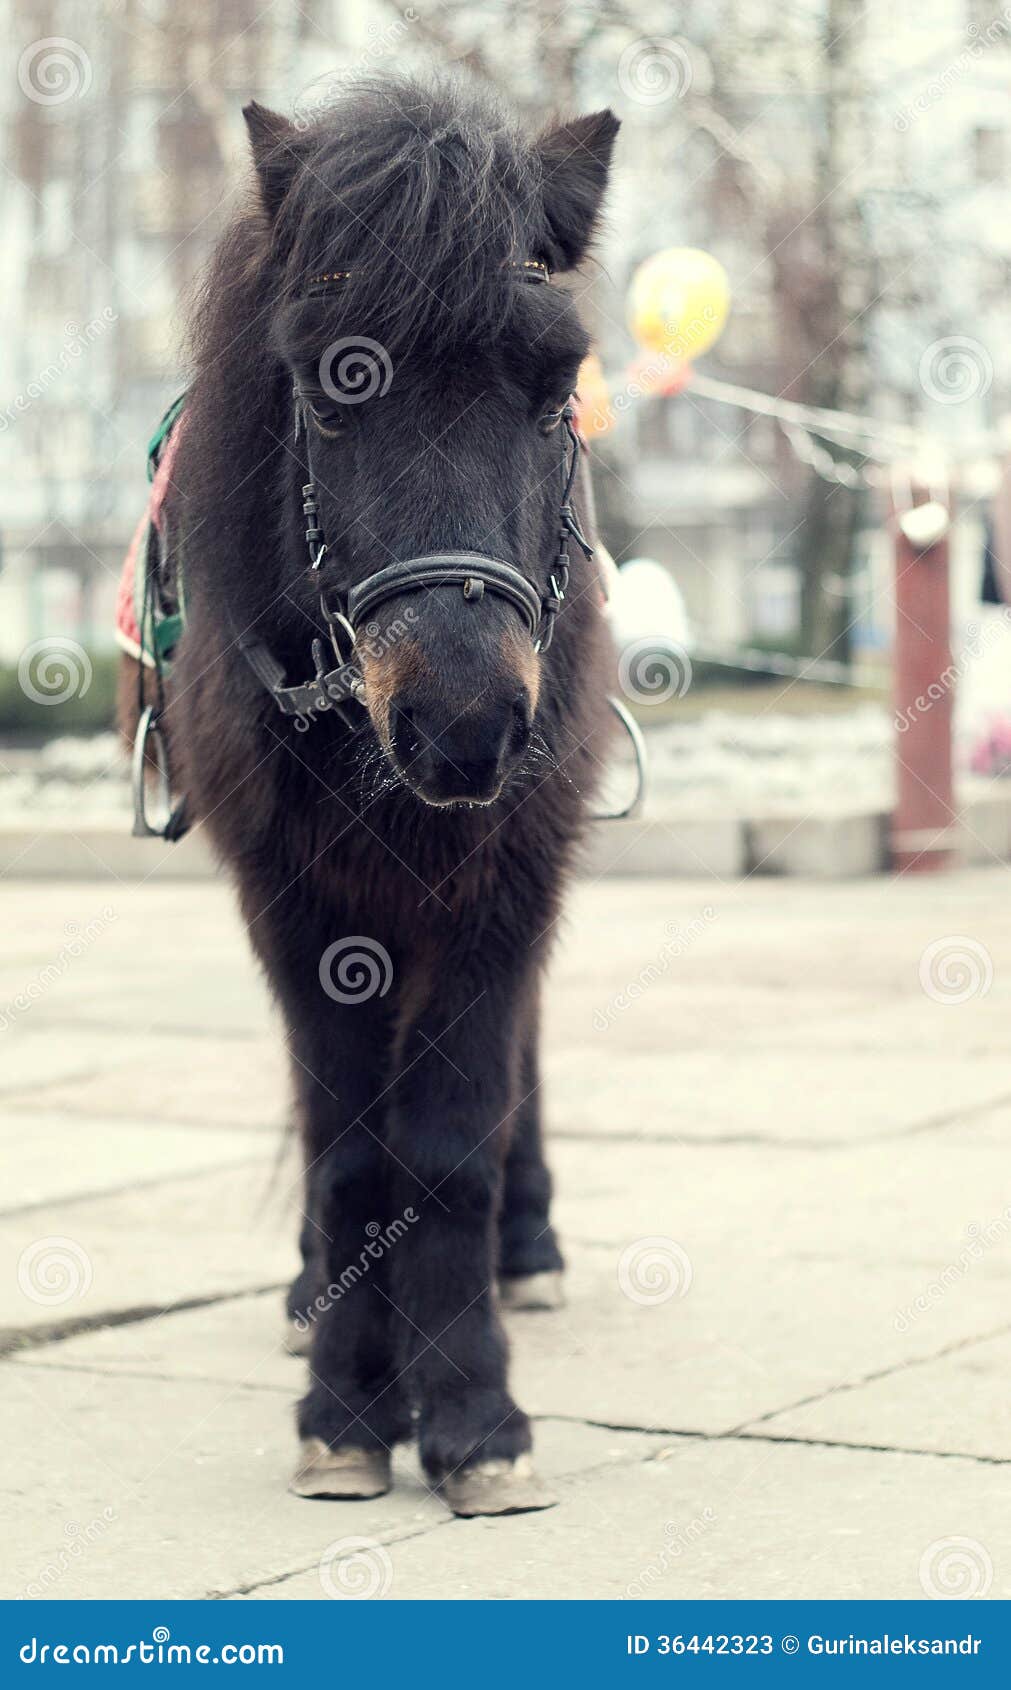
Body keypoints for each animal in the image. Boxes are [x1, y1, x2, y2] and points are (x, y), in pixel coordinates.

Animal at [118, 75, 619, 1517]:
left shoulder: (506, 880)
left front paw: (472, 1418)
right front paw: (349, 1406)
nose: (463, 724)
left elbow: (444, 1145)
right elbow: (347, 1147)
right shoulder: (296, 901)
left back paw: (527, 1246)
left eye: (553, 391)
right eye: (331, 394)